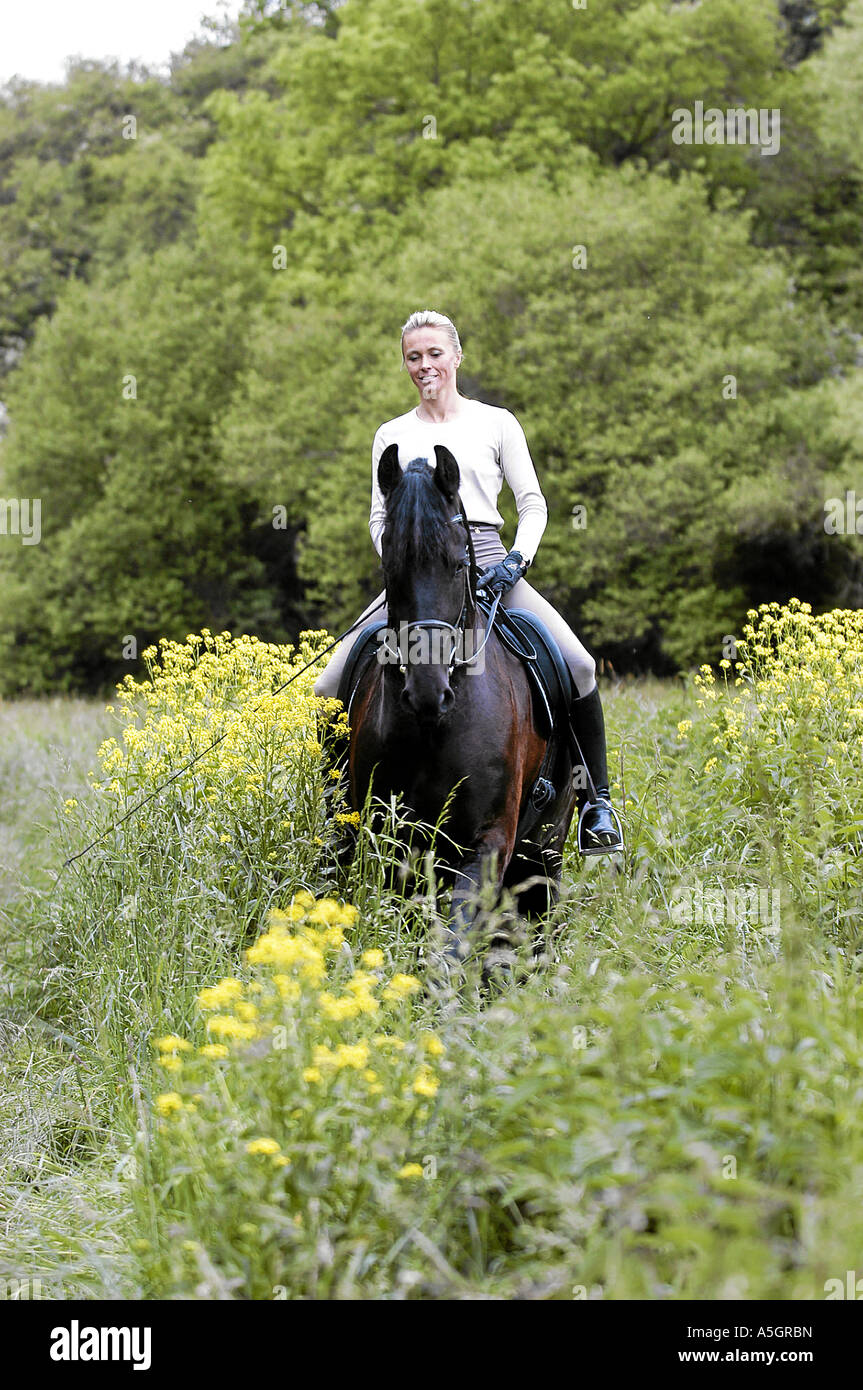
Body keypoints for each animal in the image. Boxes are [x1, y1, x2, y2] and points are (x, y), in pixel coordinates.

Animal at [343, 443, 578, 978]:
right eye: (391, 568)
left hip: (547, 848)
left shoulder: (487, 843)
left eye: (457, 565)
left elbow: (451, 947)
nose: (428, 694)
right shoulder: (397, 843)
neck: (435, 730)